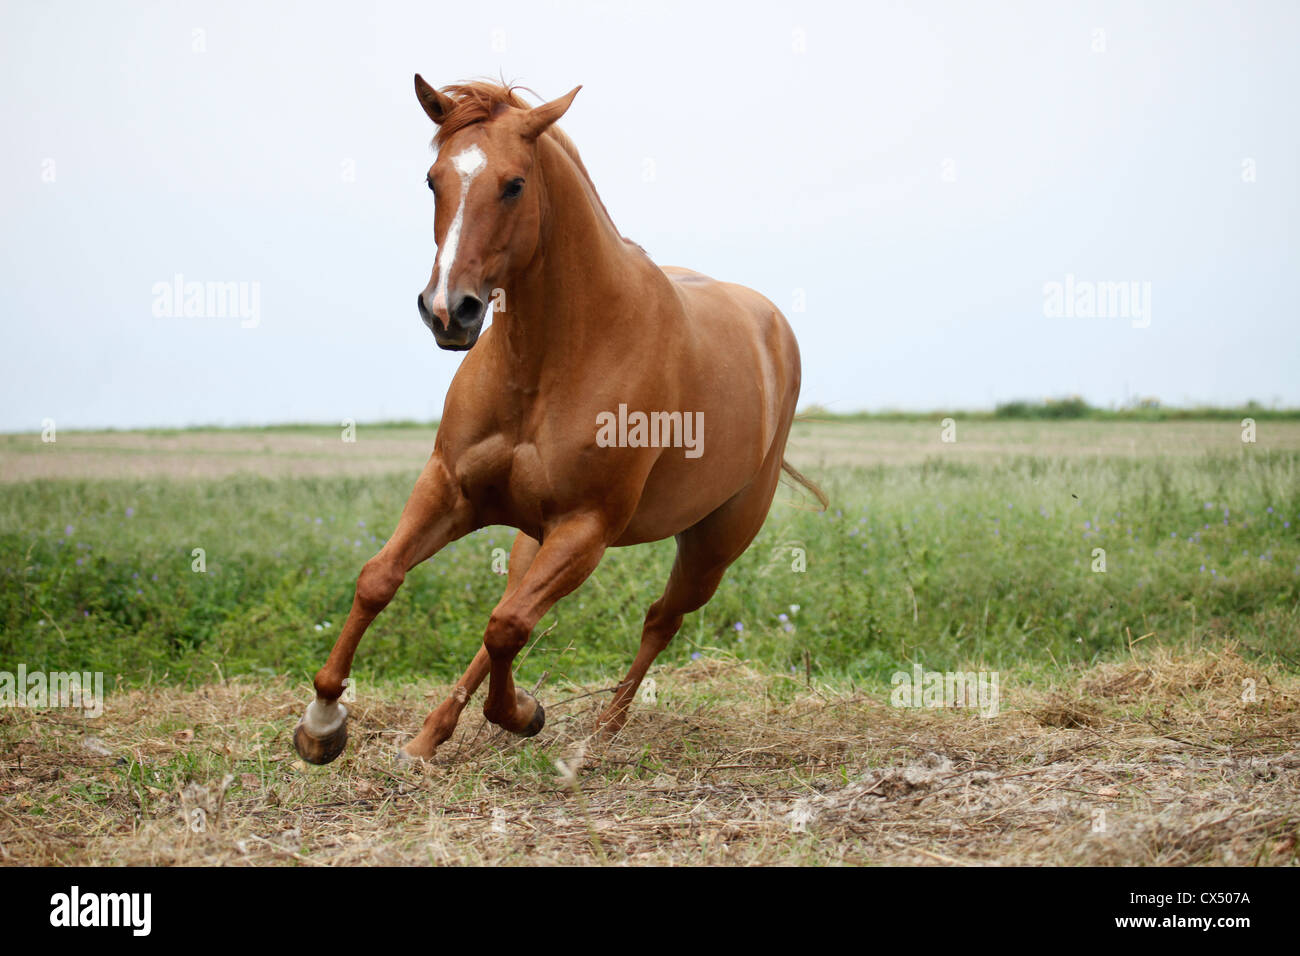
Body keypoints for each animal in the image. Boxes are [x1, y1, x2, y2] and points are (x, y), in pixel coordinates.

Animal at [293, 77, 825, 766]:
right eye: (433, 180)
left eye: (515, 184)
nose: (448, 311)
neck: (554, 356)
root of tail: (771, 326)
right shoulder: (452, 488)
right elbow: (380, 580)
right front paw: (322, 721)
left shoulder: (586, 528)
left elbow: (507, 627)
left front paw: (521, 714)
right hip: (533, 538)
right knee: (510, 615)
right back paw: (428, 737)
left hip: (712, 546)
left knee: (657, 619)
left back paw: (602, 730)